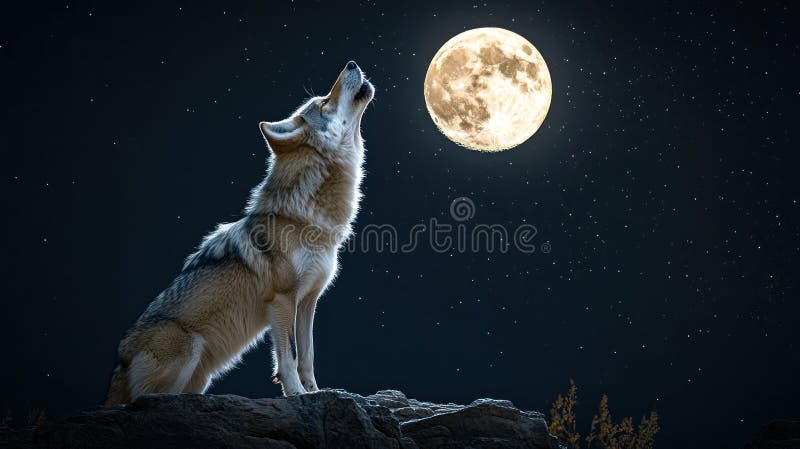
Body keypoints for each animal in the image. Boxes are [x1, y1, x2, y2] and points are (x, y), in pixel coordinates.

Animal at [105, 61, 374, 404]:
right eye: (323, 103)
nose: (352, 64)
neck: (307, 219)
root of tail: (119, 365)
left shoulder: (308, 300)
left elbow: (308, 355)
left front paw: (316, 392)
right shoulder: (282, 300)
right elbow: (289, 357)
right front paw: (296, 394)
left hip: (201, 373)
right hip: (190, 348)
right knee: (146, 399)